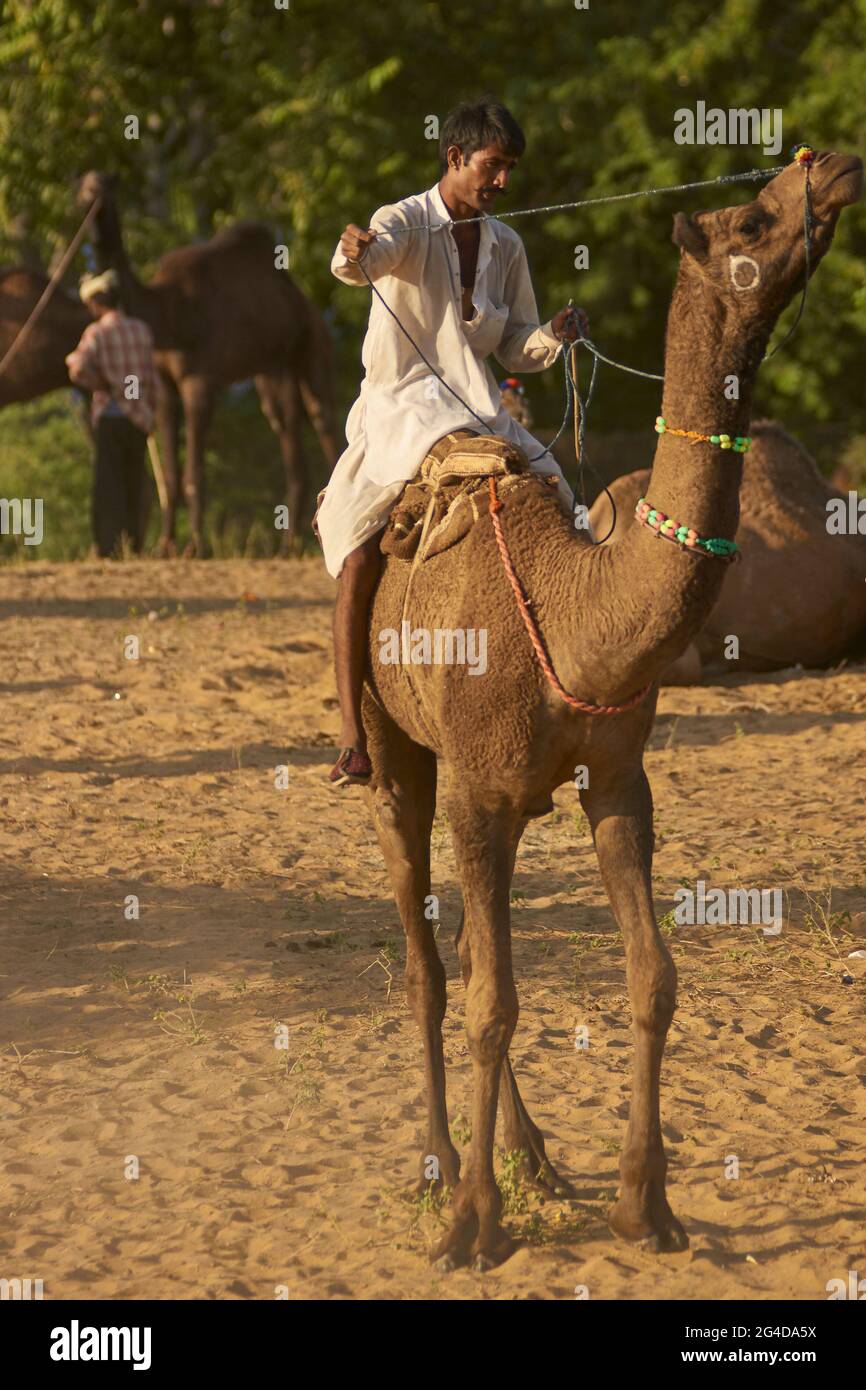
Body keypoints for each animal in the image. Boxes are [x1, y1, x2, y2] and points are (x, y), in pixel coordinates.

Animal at [76, 171, 340, 555]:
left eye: (104, 188)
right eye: (81, 187)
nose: (88, 202)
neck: (167, 314)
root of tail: (304, 302)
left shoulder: (199, 383)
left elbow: (194, 474)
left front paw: (195, 547)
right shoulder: (166, 387)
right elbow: (171, 476)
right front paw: (165, 546)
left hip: (312, 346)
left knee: (325, 420)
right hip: (273, 370)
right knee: (286, 427)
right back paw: (287, 546)